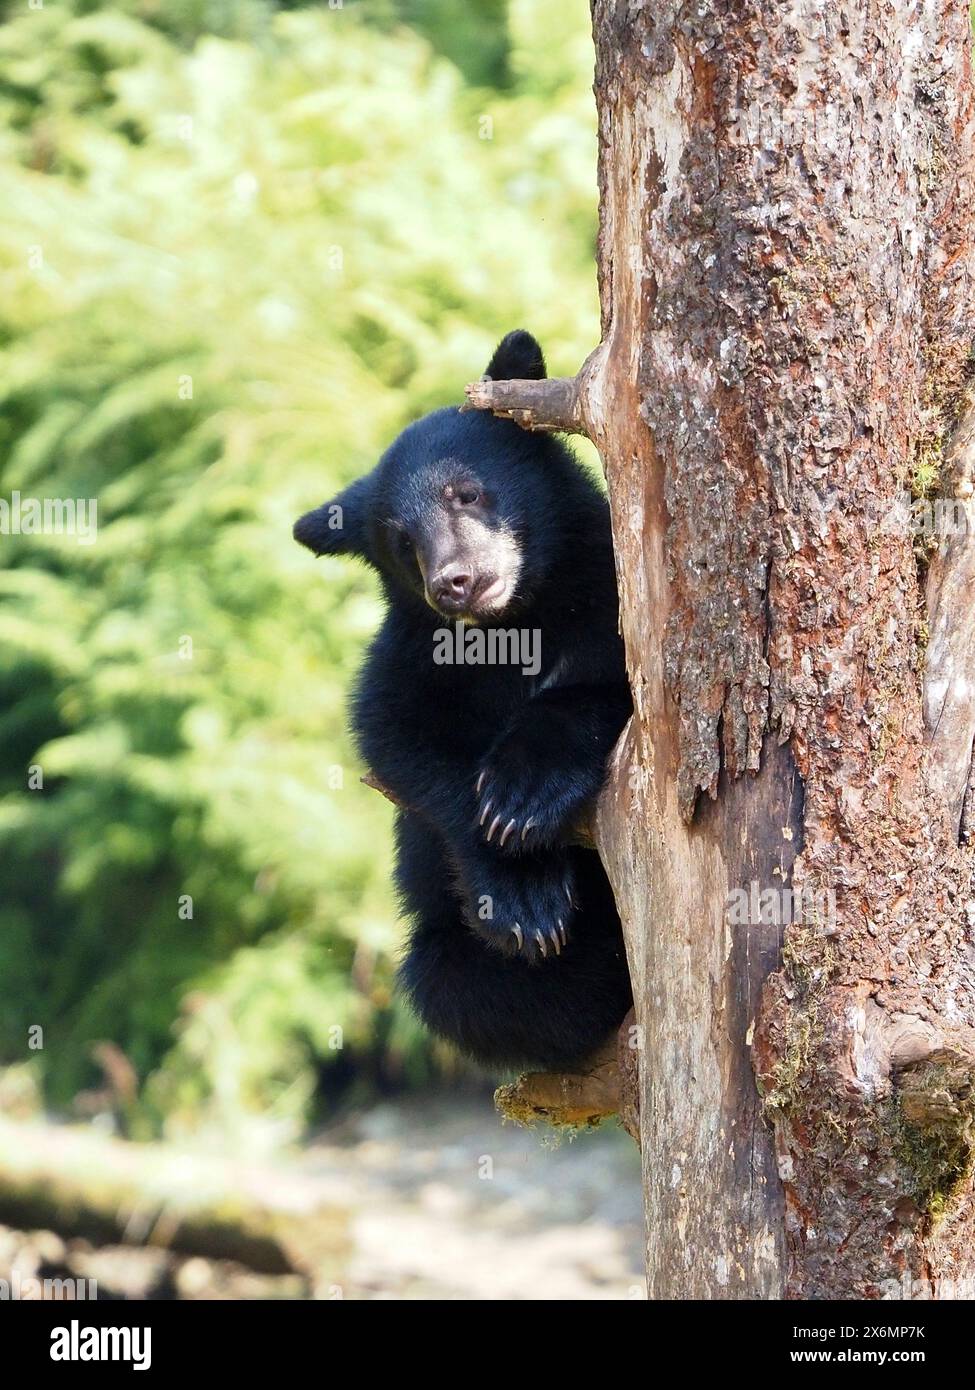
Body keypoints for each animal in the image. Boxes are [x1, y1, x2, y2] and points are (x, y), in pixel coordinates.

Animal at [294, 330, 632, 1070]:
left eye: (468, 492)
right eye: (401, 541)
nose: (455, 581)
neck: (513, 627)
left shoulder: (607, 597)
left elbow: (604, 689)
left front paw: (524, 792)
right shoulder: (415, 655)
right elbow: (398, 738)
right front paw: (524, 895)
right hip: (444, 952)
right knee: (462, 988)